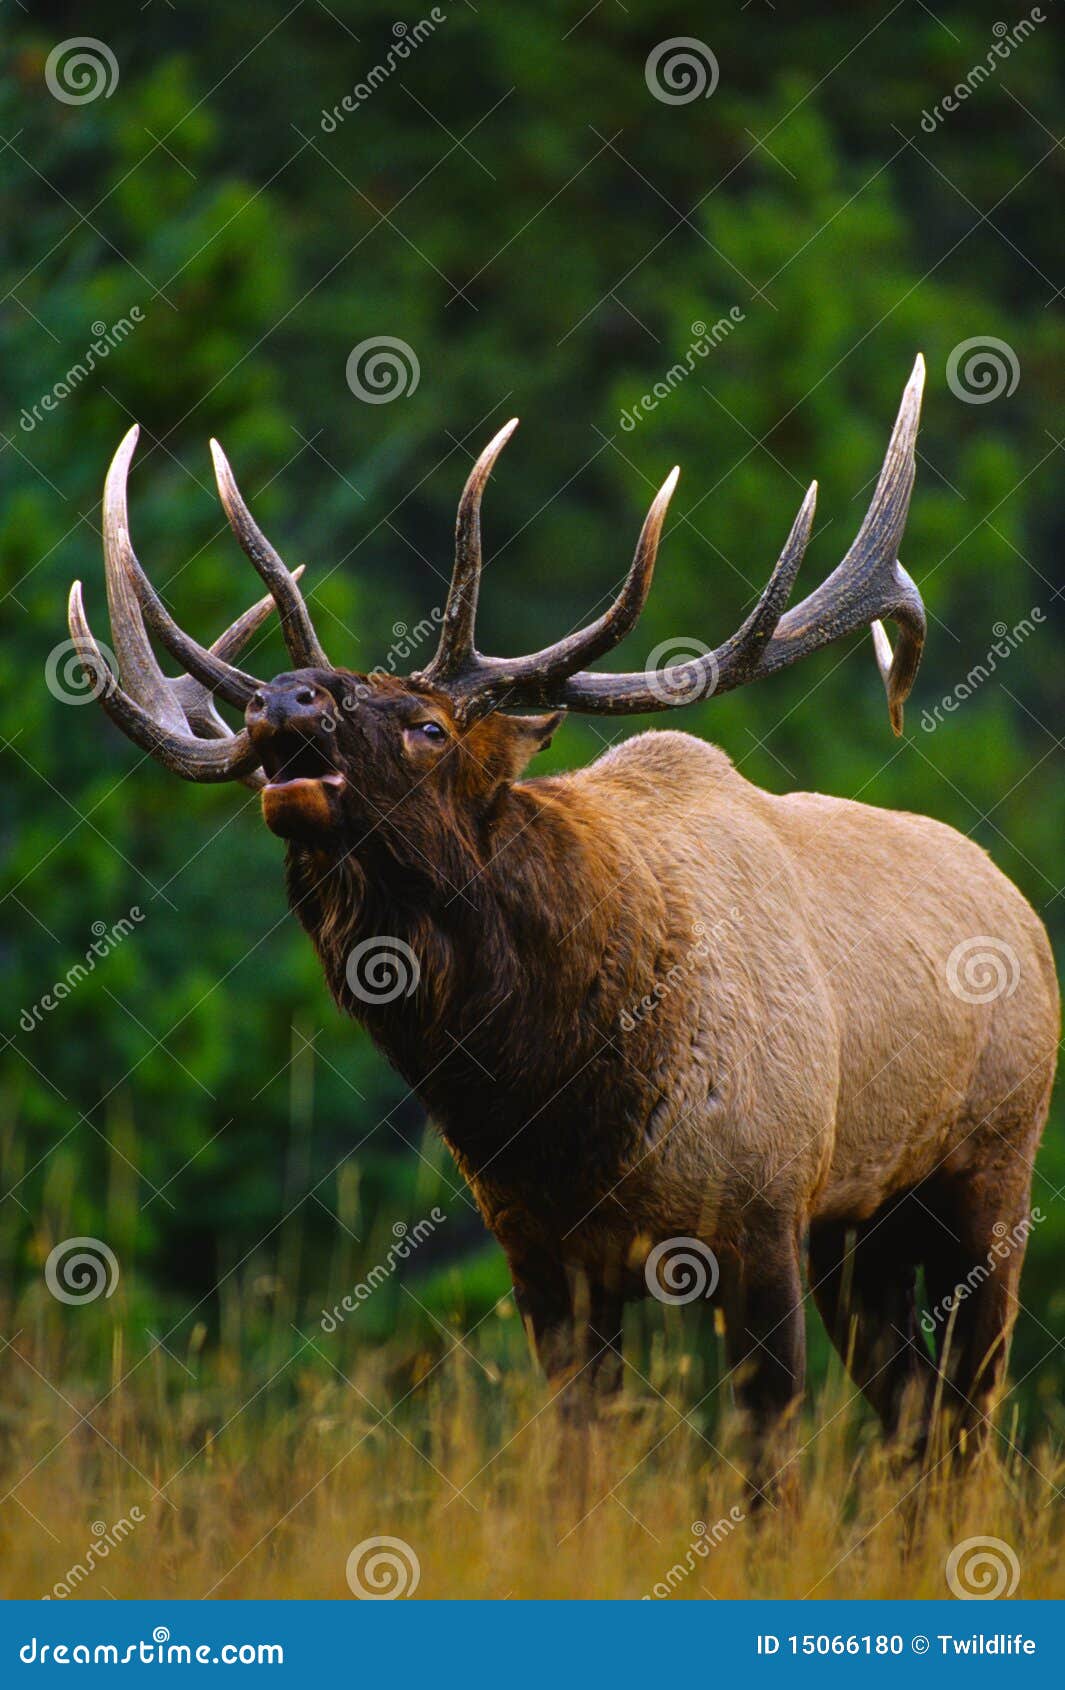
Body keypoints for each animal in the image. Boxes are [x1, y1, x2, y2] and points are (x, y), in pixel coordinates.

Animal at [66, 357, 1058, 1489]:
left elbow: (767, 1464)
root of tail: (1017, 905)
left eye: (428, 726)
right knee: (911, 1419)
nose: (282, 700)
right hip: (864, 1230)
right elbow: (577, 1461)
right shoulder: (541, 1252)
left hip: (989, 1175)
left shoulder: (762, 1213)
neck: (560, 1099)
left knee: (965, 1419)